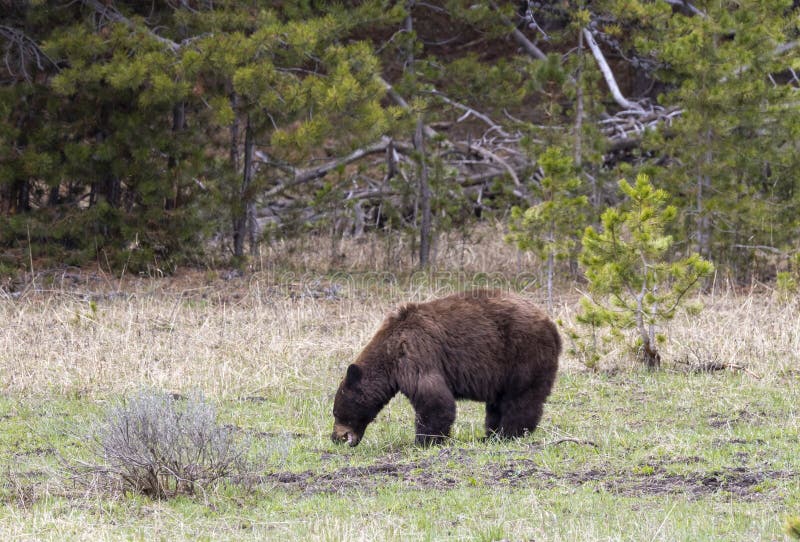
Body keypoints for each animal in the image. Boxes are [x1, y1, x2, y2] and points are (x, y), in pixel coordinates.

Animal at [331, 289, 561, 446]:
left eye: (336, 412)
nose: (336, 437)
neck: (389, 352)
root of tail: (551, 325)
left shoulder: (415, 353)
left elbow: (433, 398)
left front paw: (424, 440)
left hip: (523, 354)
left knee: (521, 397)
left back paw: (509, 433)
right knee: (498, 403)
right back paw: (490, 434)